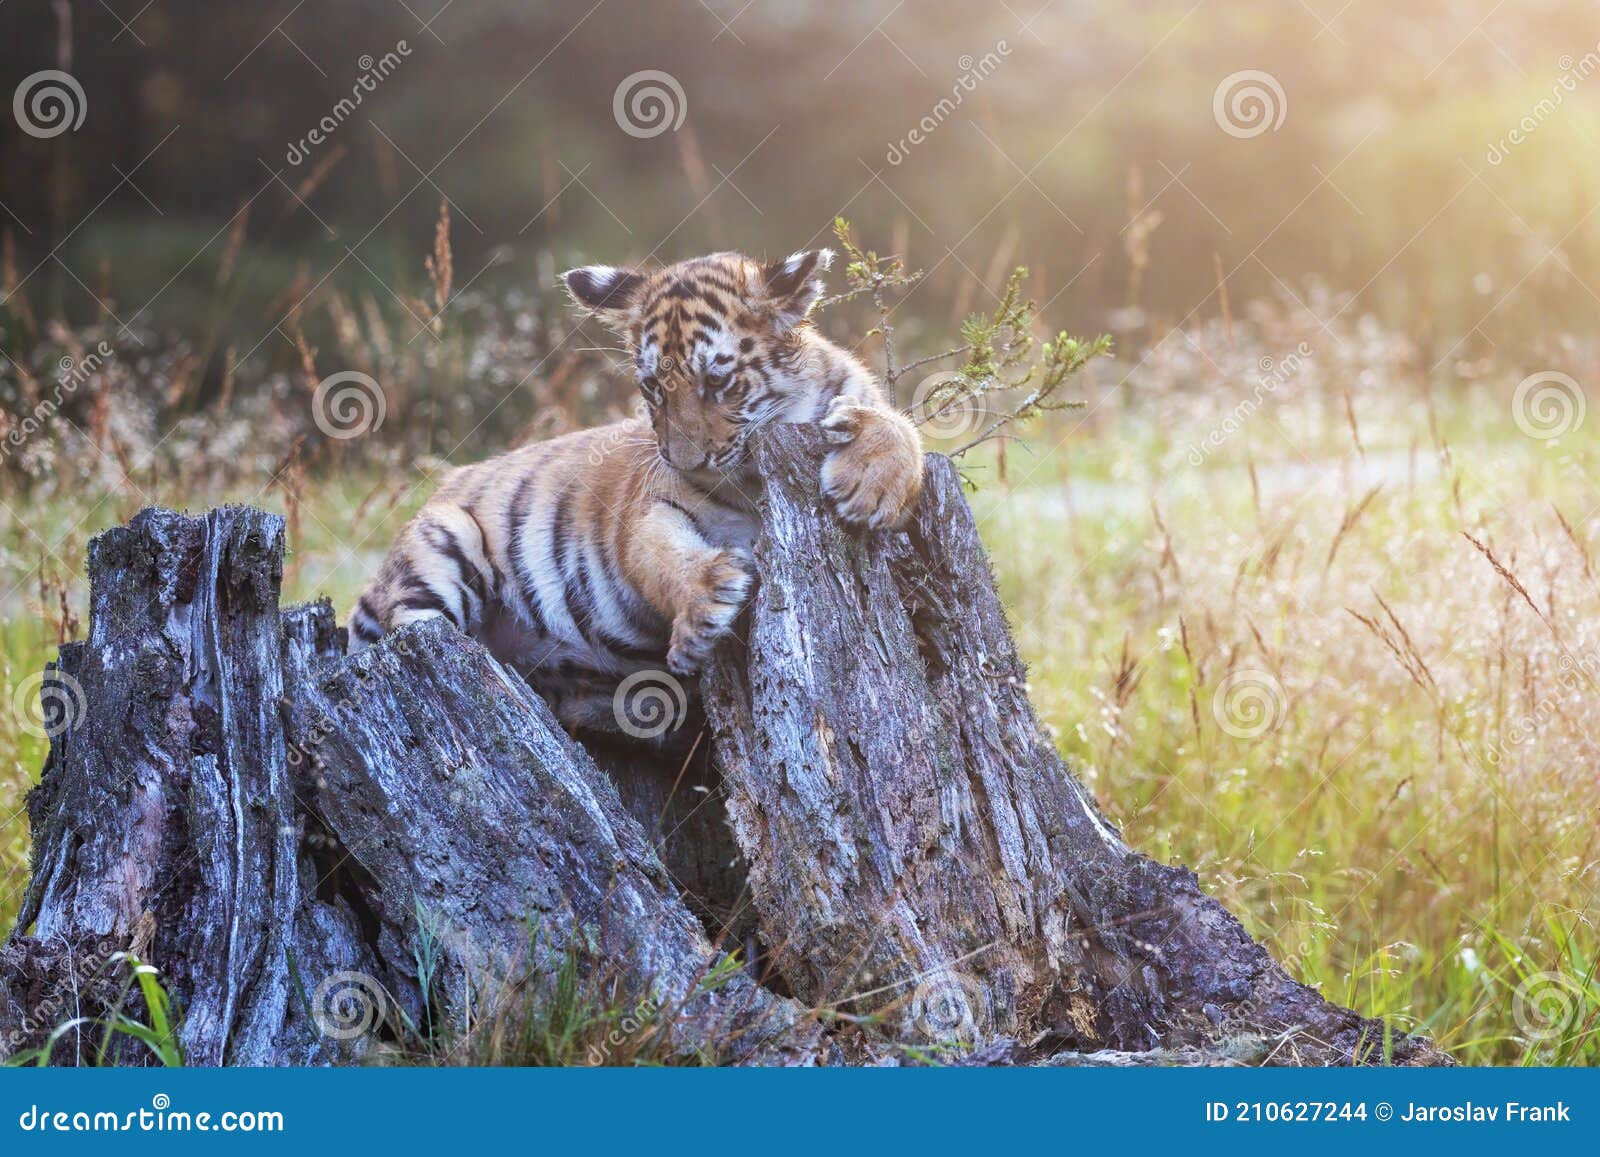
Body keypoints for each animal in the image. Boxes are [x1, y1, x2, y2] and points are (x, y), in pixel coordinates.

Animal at [347, 247, 923, 733]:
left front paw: (869, 488)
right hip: (445, 545)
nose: (685, 459)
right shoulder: (645, 513)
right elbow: (663, 557)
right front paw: (706, 605)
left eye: (718, 382)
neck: (756, 476)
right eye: (652, 387)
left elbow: (900, 426)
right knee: (409, 633)